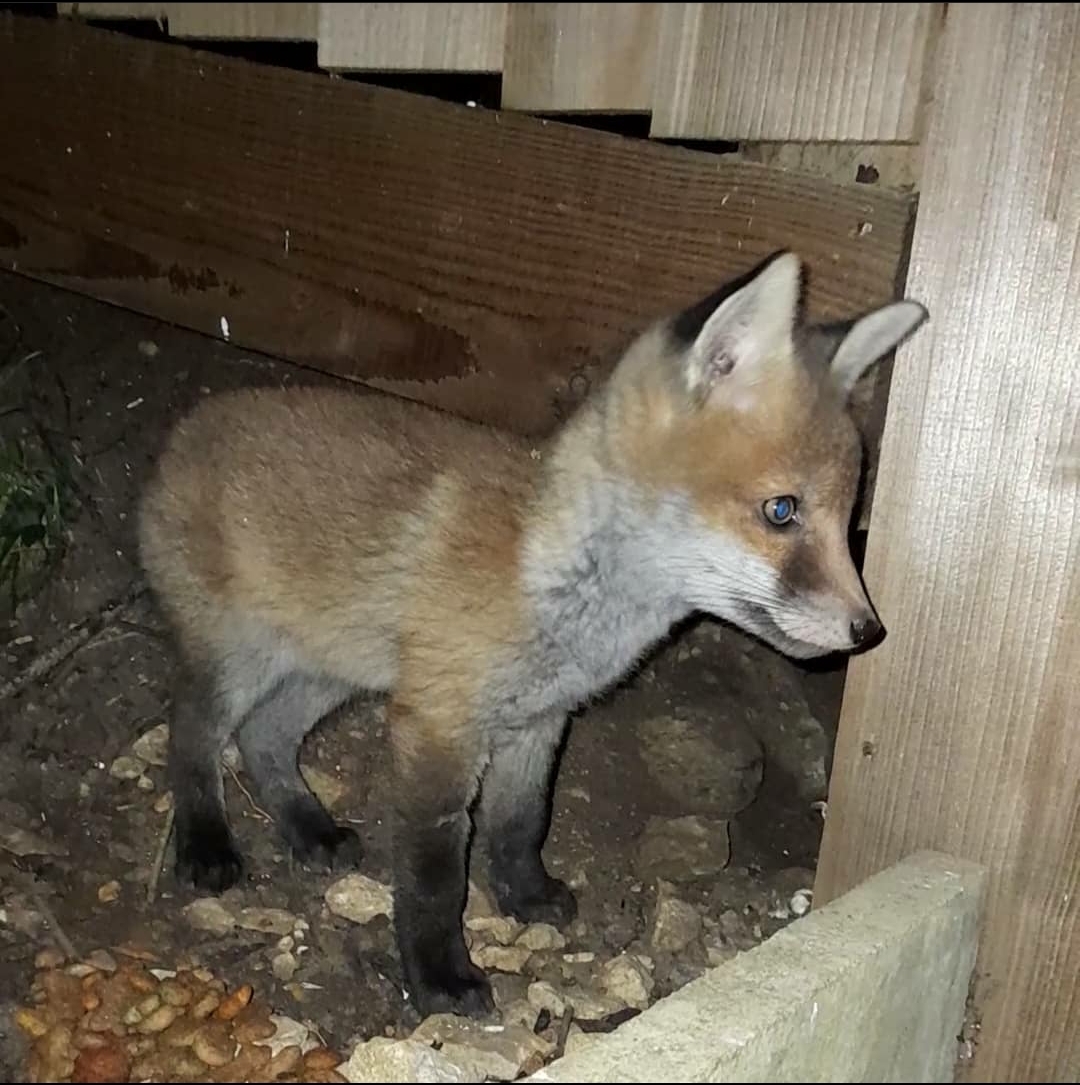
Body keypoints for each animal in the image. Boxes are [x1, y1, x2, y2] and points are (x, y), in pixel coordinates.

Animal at [137, 250, 927, 1020]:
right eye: (781, 510)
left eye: (846, 521)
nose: (868, 628)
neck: (556, 591)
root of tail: (187, 426)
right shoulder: (438, 722)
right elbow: (433, 873)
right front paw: (438, 977)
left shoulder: (539, 721)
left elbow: (520, 823)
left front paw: (525, 896)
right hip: (240, 659)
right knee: (195, 734)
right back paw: (205, 842)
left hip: (327, 673)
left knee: (263, 736)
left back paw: (309, 829)